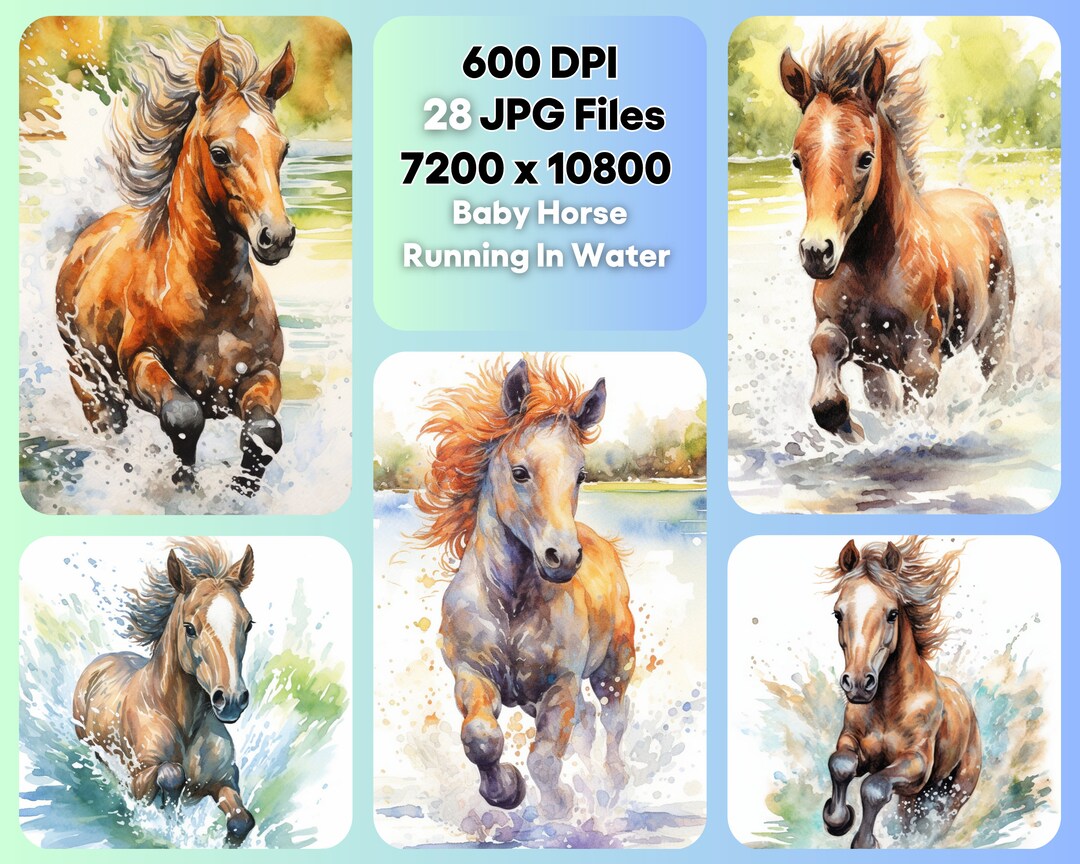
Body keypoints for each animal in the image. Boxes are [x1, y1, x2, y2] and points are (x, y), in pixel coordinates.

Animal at [55, 25, 296, 494]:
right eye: (219, 153)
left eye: (283, 149)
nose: (276, 237)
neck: (213, 299)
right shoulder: (139, 363)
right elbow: (184, 417)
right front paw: (185, 486)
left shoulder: (262, 373)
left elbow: (264, 432)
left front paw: (241, 490)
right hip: (91, 384)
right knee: (111, 428)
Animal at [72, 539, 258, 847]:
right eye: (190, 628)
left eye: (249, 624)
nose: (231, 700)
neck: (183, 722)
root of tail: (101, 662)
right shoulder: (137, 779)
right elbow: (171, 775)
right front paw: (169, 815)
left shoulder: (225, 779)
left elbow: (242, 821)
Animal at [414, 356, 636, 819]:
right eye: (520, 472)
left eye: (580, 475)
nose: (563, 557)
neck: (510, 605)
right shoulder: (471, 672)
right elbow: (481, 738)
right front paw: (505, 790)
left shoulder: (561, 684)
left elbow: (546, 758)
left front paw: (559, 803)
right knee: (589, 724)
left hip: (615, 665)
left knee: (612, 717)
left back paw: (612, 782)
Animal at [780, 25, 1015, 442]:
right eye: (796, 159)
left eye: (865, 158)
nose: (817, 251)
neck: (874, 267)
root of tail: (983, 206)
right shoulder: (856, 347)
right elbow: (827, 349)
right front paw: (848, 426)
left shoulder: (921, 363)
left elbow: (913, 411)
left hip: (994, 334)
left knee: (995, 376)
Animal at [822, 537, 981, 848]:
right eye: (837, 614)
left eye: (892, 614)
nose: (858, 683)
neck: (889, 706)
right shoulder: (854, 744)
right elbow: (841, 763)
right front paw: (837, 819)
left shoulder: (916, 763)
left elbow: (873, 787)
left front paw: (865, 842)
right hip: (912, 798)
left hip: (952, 794)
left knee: (935, 823)